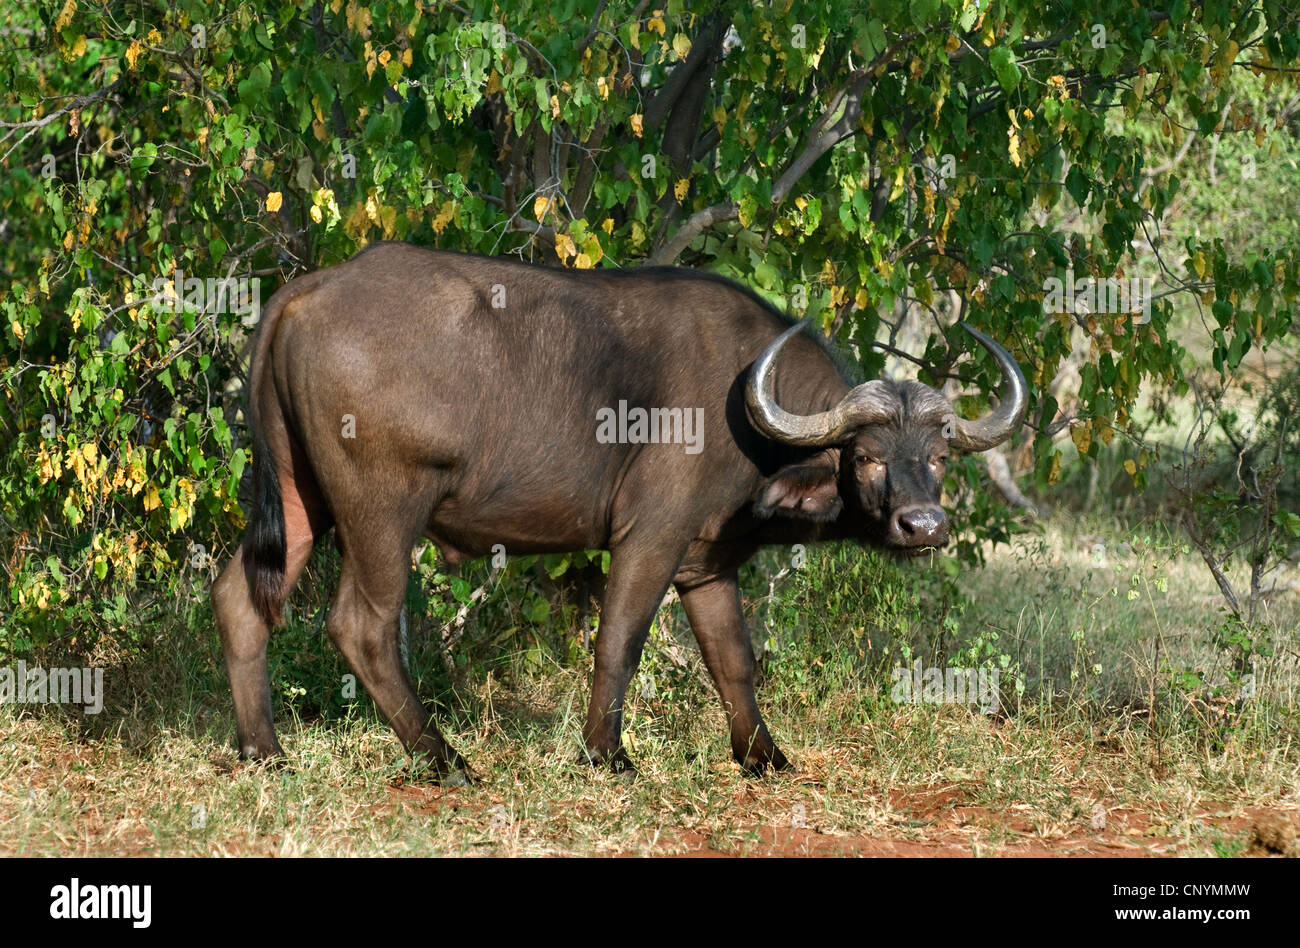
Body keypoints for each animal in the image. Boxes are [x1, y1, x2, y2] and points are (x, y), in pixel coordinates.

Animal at [212, 242, 1027, 782]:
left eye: (940, 456)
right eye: (865, 458)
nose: (924, 526)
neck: (751, 421)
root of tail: (308, 291)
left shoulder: (707, 564)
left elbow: (733, 659)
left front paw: (763, 756)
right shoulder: (650, 538)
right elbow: (620, 643)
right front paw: (608, 755)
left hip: (302, 498)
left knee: (239, 600)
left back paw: (265, 752)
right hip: (383, 512)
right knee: (363, 626)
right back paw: (445, 759)